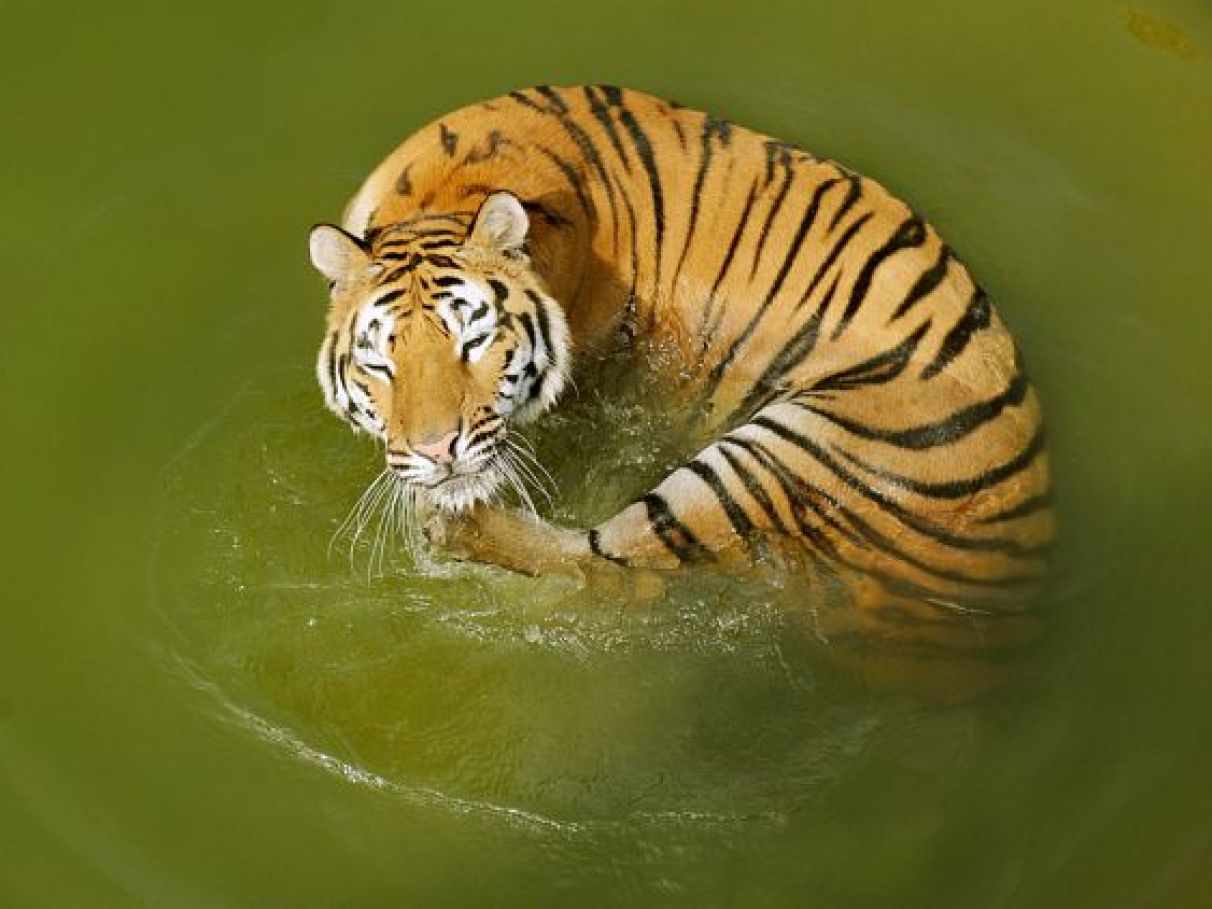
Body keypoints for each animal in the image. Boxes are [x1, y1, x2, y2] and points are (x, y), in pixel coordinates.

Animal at [308, 85, 1054, 687]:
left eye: (474, 340)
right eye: (381, 361)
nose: (438, 453)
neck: (450, 191)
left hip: (786, 456)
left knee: (610, 573)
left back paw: (453, 524)